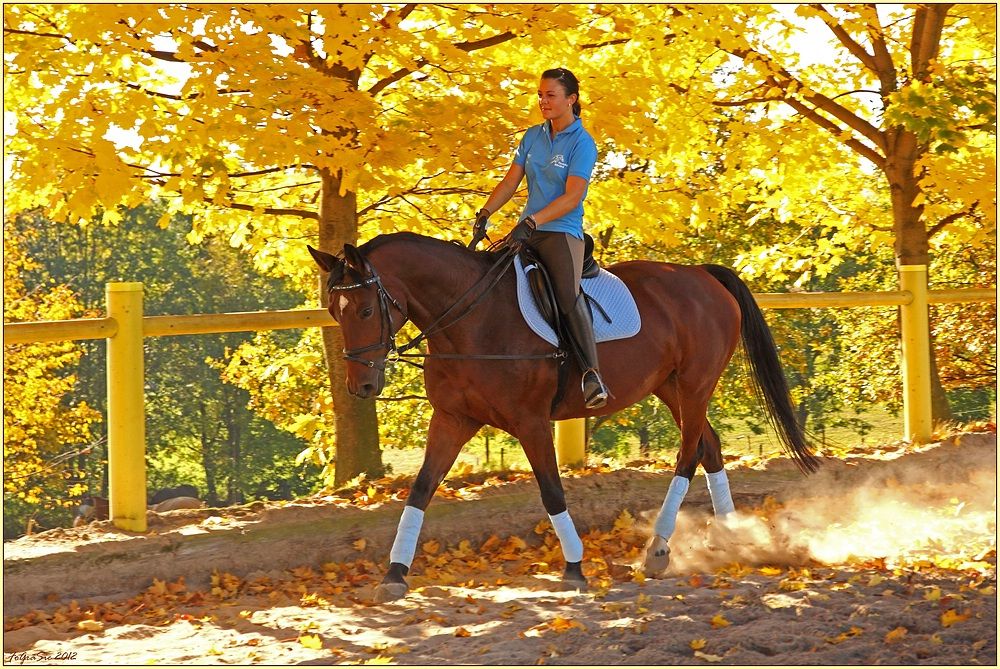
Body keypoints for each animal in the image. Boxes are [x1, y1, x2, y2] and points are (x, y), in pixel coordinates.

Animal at [307, 231, 818, 603]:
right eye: (334, 309)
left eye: (367, 309)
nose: (361, 387)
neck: (470, 321)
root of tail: (701, 275)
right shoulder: (452, 419)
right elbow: (420, 491)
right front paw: (394, 574)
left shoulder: (531, 422)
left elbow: (552, 492)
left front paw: (573, 567)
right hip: (670, 387)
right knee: (709, 447)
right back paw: (733, 537)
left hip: (694, 385)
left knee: (688, 453)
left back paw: (658, 548)